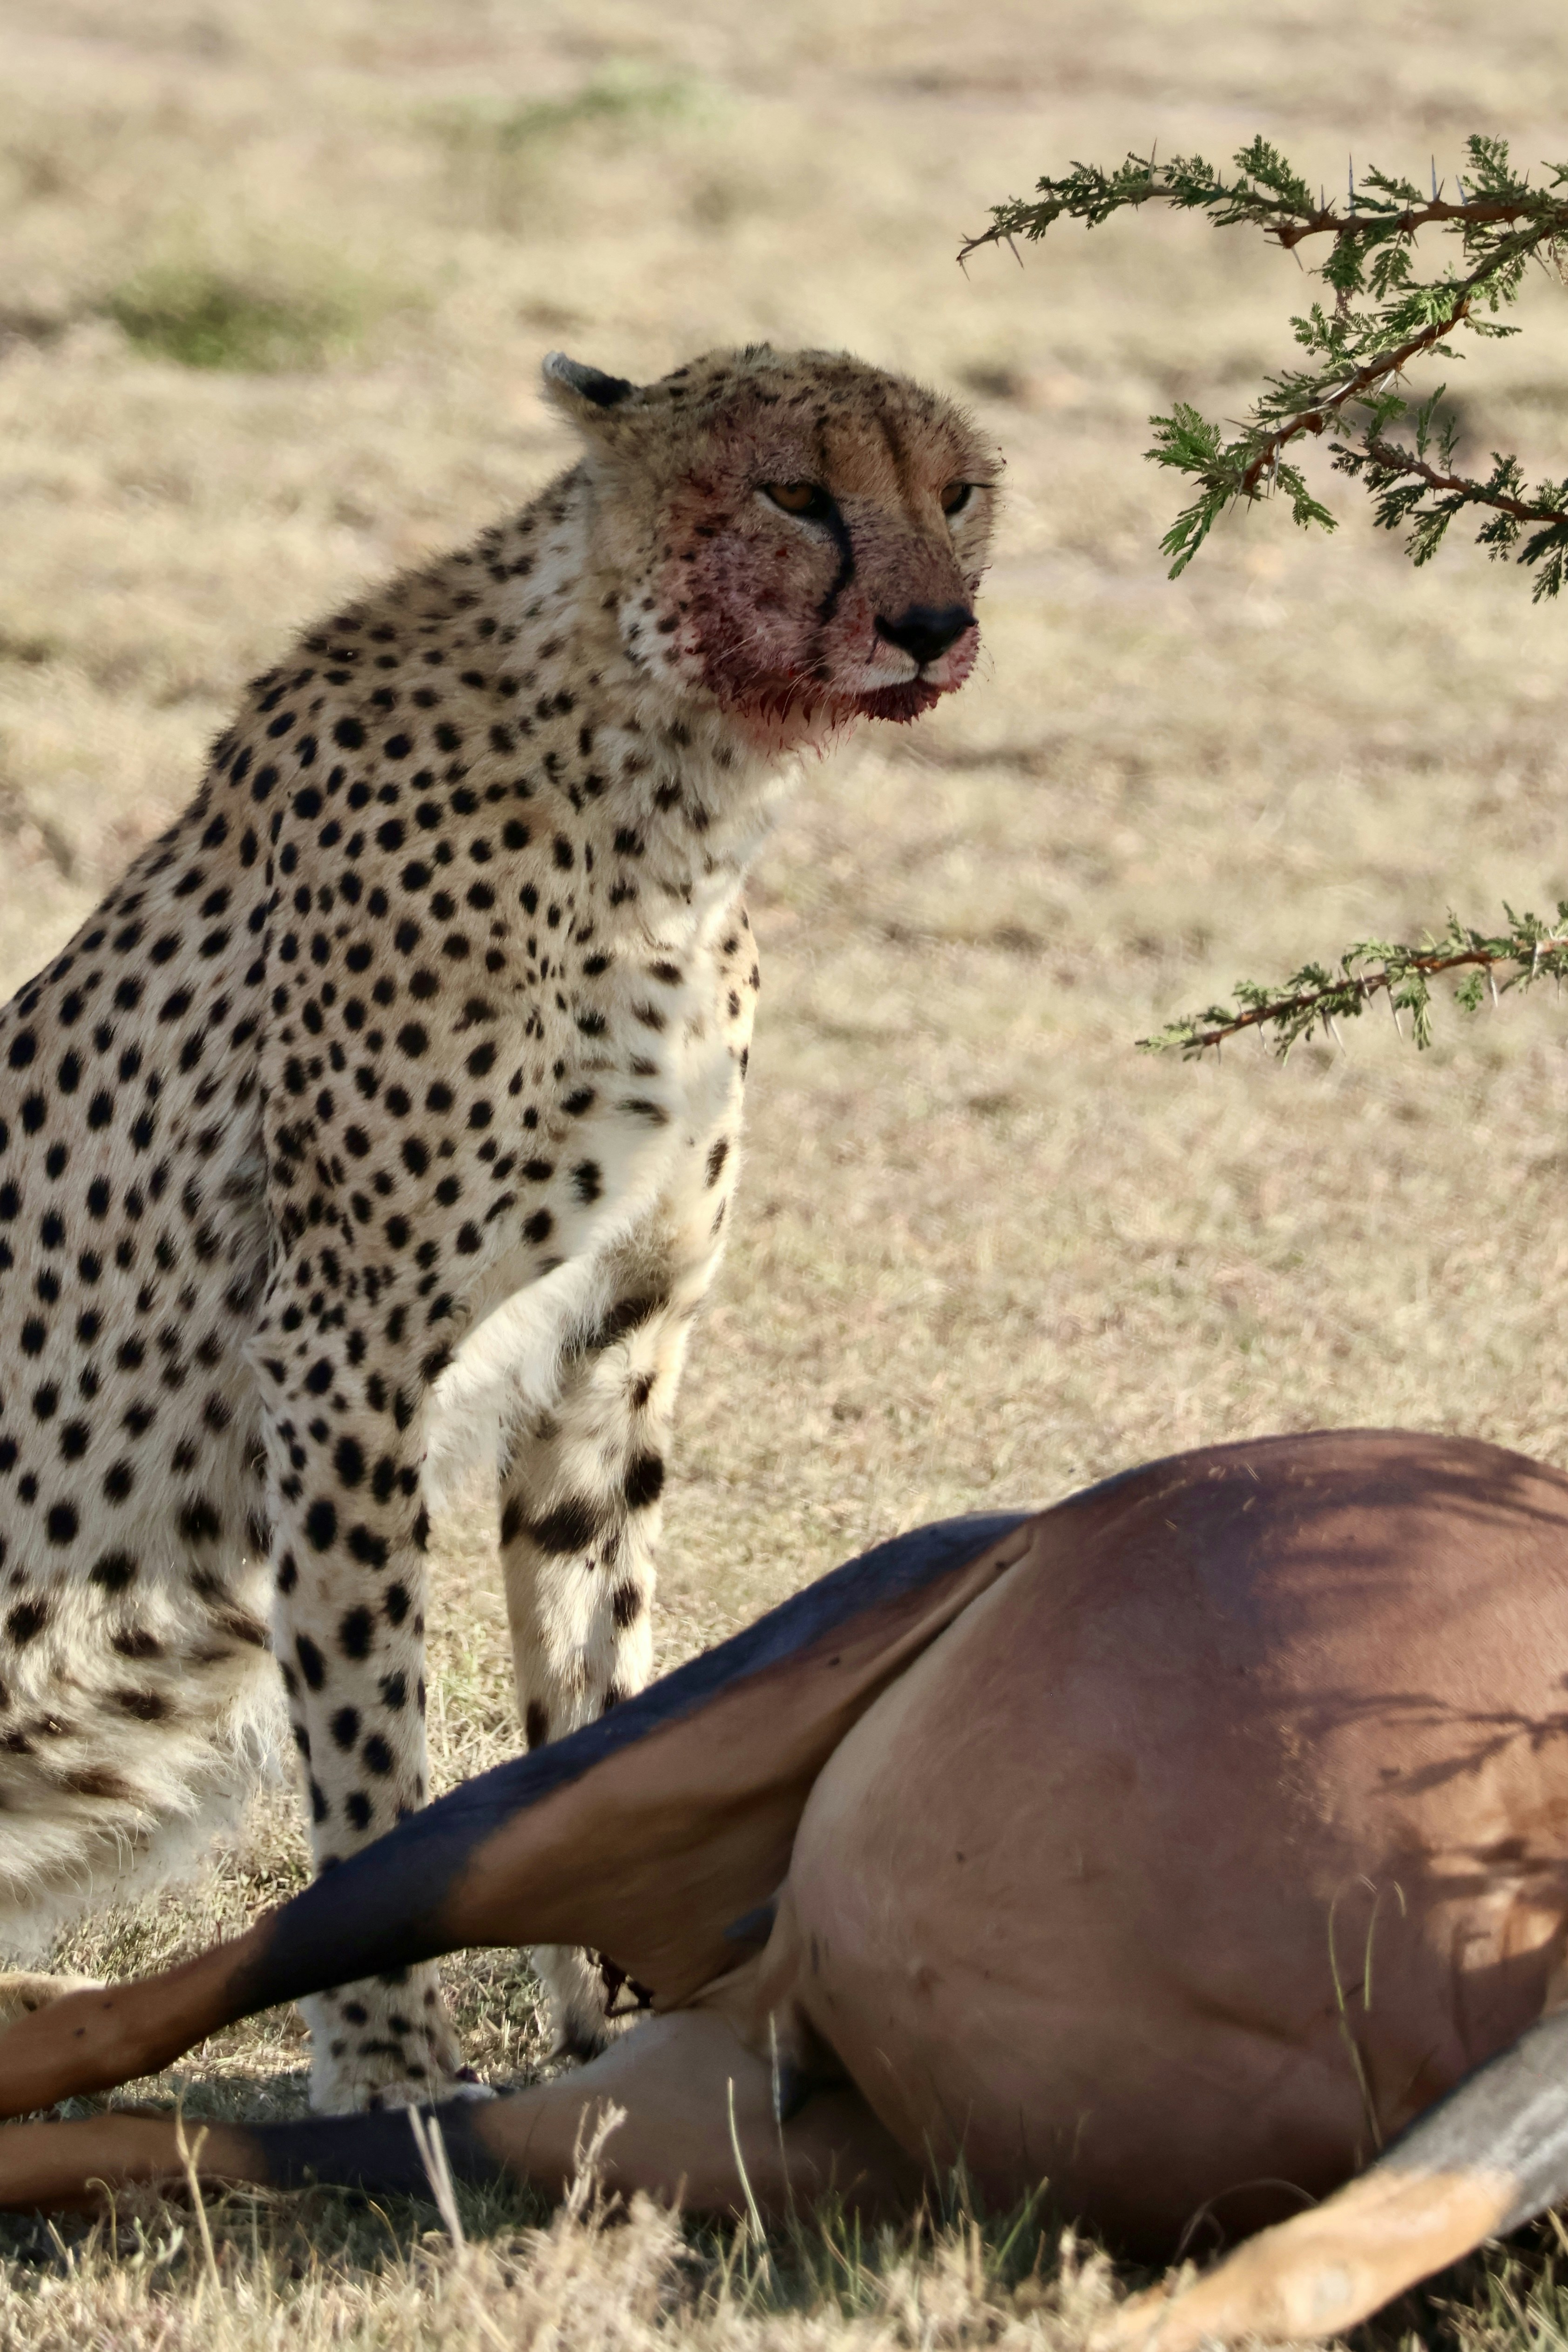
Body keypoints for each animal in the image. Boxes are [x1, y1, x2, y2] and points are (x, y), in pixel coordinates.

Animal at [0, 343, 997, 2111]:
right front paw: (394, 2065)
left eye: (956, 492)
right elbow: (370, 1731)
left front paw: (611, 2021)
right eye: (793, 493)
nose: (934, 623)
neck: (666, 781)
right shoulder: (342, 1351)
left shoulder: (616, 1348)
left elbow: (596, 1690)